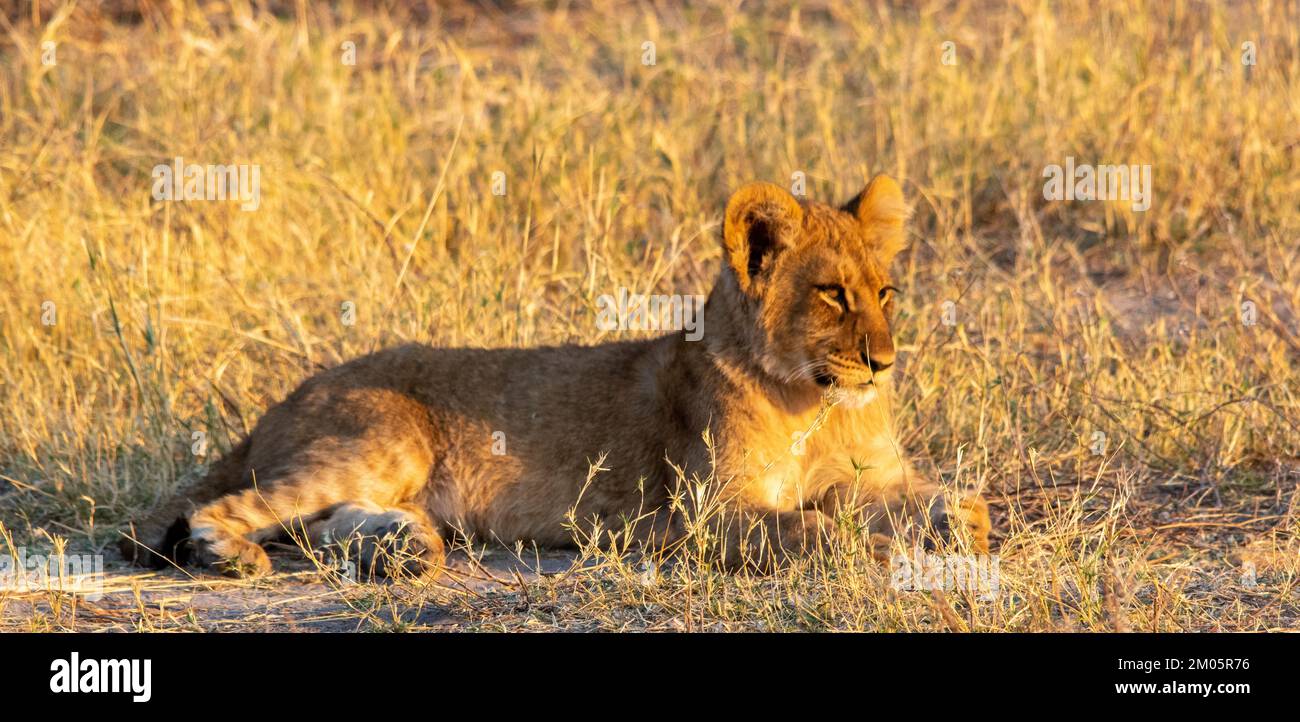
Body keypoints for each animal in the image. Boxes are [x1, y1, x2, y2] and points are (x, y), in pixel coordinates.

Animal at [120, 175, 991, 577]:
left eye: (885, 293)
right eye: (833, 295)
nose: (884, 361)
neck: (816, 400)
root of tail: (288, 398)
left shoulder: (870, 476)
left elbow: (947, 503)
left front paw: (958, 524)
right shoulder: (708, 513)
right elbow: (813, 528)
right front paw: (857, 545)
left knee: (330, 522)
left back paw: (408, 551)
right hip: (383, 441)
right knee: (231, 508)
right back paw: (237, 556)